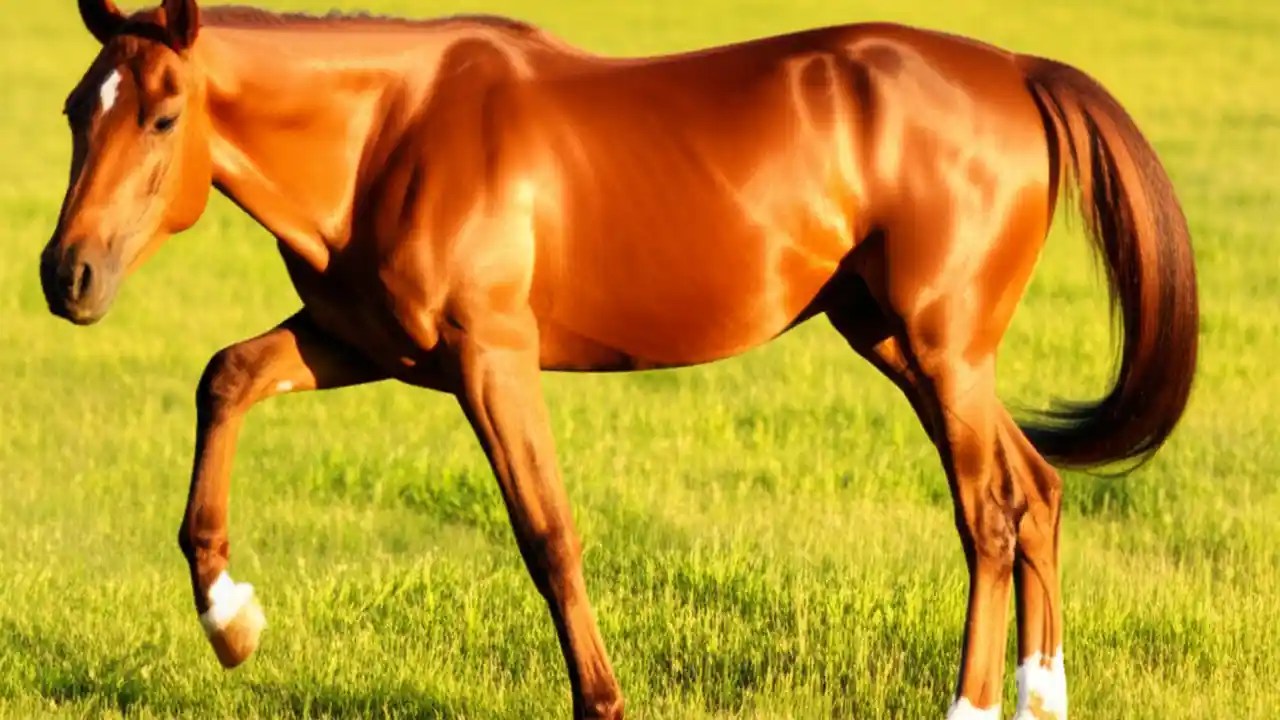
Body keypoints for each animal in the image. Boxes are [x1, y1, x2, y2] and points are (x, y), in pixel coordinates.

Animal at [40, 1, 1198, 718]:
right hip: (902, 345)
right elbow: (224, 377)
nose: (67, 275)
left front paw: (600, 699)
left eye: (163, 115)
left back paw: (970, 701)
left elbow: (548, 537)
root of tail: (1015, 71)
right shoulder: (360, 340)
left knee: (989, 513)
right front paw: (229, 621)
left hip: (940, 352)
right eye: (73, 111)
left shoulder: (490, 361)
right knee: (1037, 489)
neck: (391, 134)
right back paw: (1040, 693)